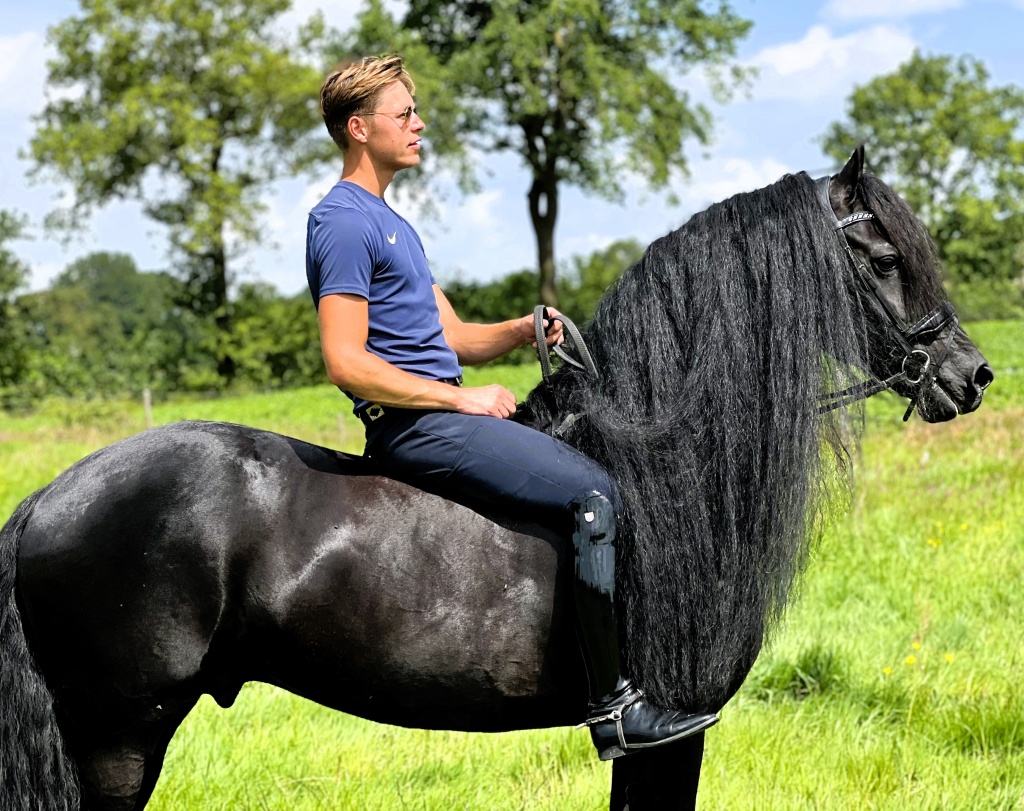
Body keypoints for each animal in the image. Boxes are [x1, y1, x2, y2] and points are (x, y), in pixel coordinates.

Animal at [0, 147, 992, 811]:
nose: (973, 374)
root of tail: (47, 498)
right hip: (119, 735)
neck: (662, 461)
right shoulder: (673, 732)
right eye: (883, 259)